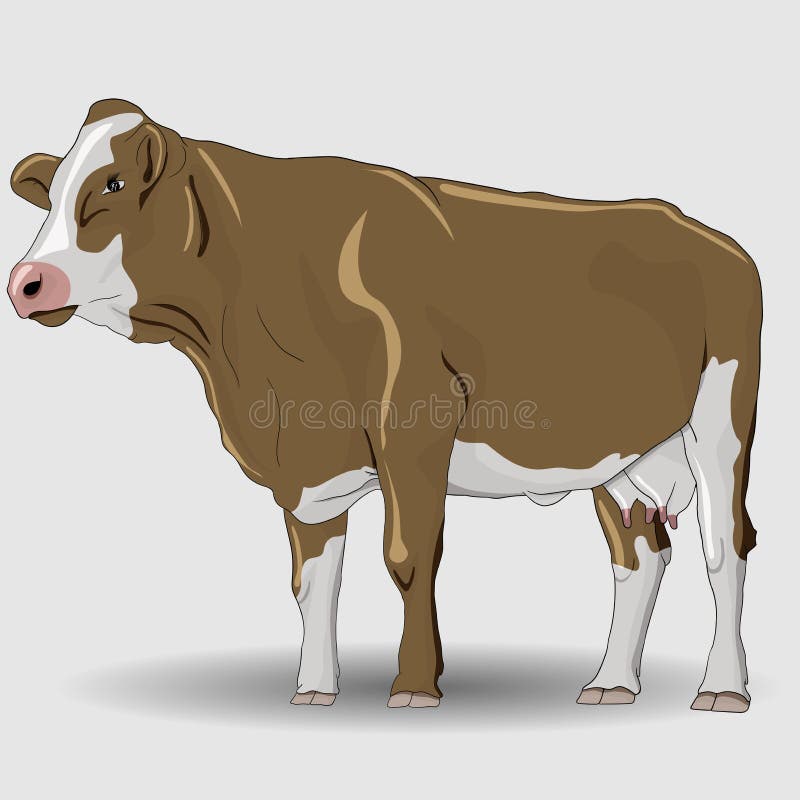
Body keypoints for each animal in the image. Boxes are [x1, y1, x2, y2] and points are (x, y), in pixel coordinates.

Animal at [8, 99, 761, 713]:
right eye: (51, 191)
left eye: (112, 184)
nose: (26, 282)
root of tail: (712, 238)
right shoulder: (306, 462)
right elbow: (311, 579)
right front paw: (314, 689)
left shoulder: (415, 421)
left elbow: (407, 555)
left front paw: (415, 686)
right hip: (618, 452)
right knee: (639, 554)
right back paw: (612, 683)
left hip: (721, 422)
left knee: (724, 545)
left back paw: (722, 687)